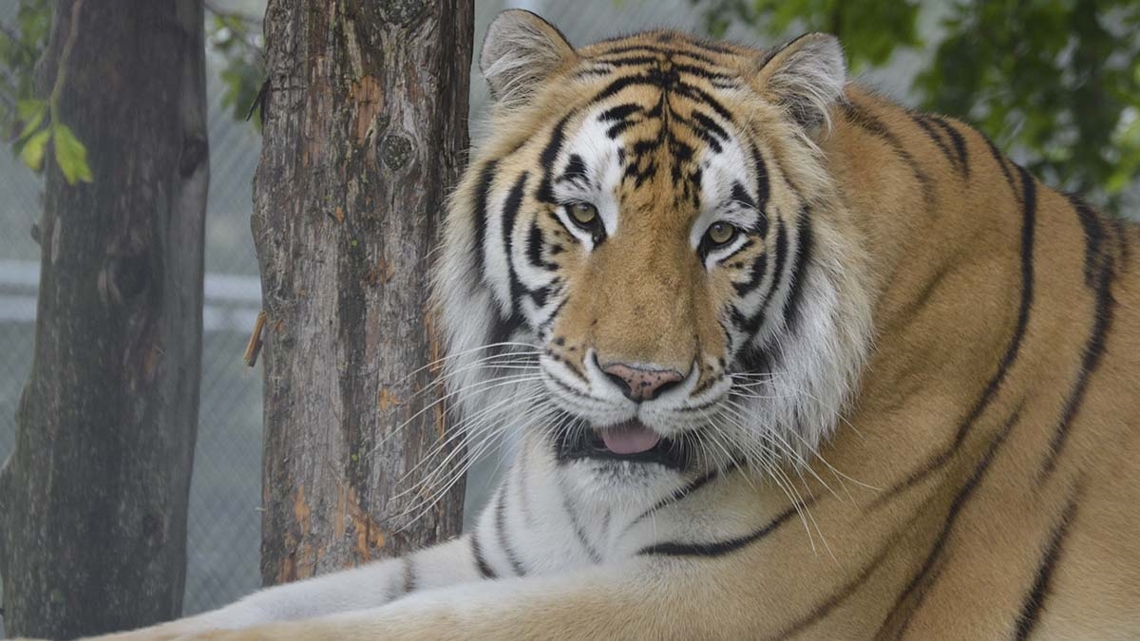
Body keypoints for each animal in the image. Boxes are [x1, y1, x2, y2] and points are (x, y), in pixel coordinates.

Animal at [87, 9, 1140, 641]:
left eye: (722, 236)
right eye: (584, 215)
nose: (640, 381)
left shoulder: (711, 597)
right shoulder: (505, 554)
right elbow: (271, 606)